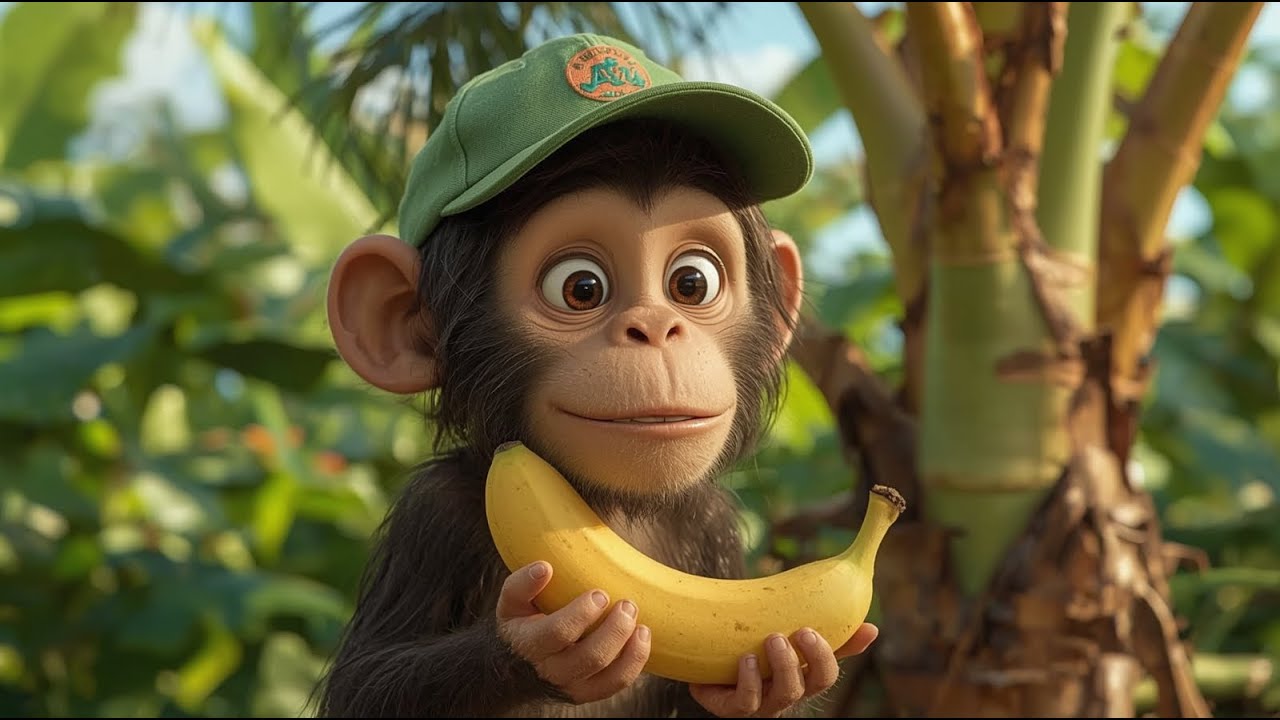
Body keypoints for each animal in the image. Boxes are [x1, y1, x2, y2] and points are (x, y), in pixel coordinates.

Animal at [318, 35, 879, 719]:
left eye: (692, 283)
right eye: (581, 288)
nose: (654, 327)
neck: (608, 509)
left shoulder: (715, 526)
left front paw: (777, 680)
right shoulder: (433, 514)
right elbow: (363, 686)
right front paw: (540, 646)